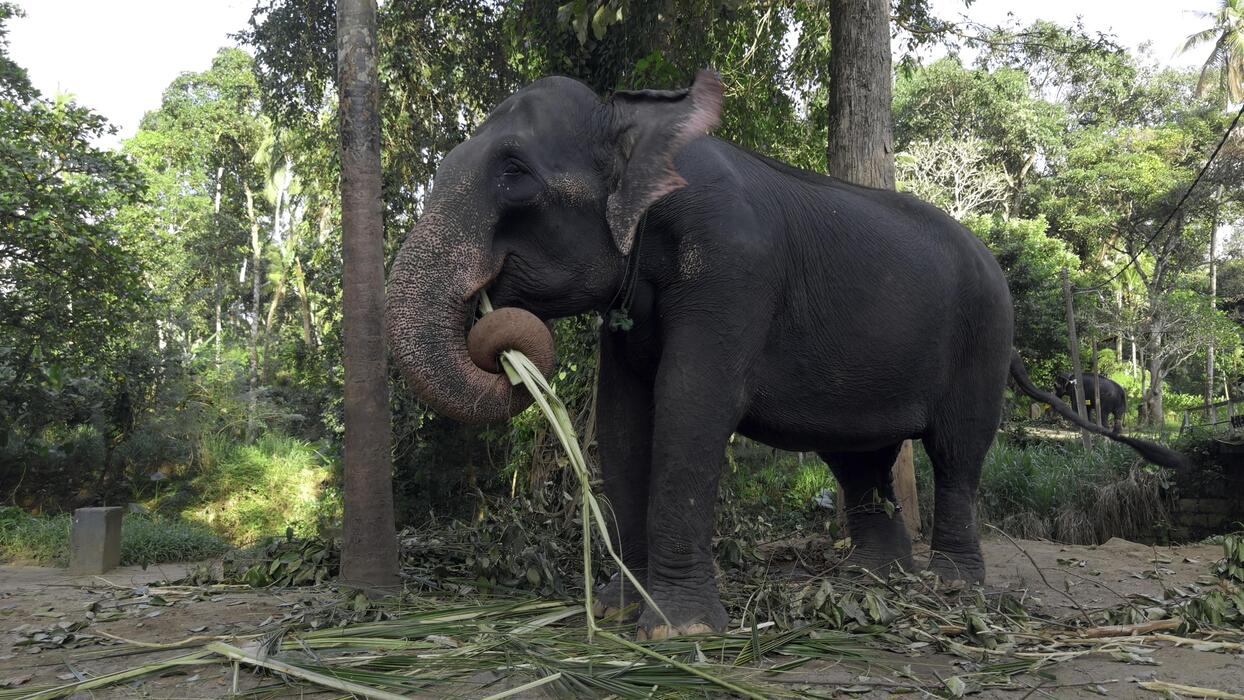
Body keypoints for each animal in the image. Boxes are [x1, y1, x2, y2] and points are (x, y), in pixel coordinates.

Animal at [386, 70, 1189, 638]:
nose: (493, 324)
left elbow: (690, 403)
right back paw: (873, 580)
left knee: (959, 453)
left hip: (983, 339)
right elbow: (621, 421)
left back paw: (953, 587)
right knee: (861, 460)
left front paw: (680, 632)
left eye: (515, 174)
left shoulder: (734, 268)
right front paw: (618, 613)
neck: (644, 128)